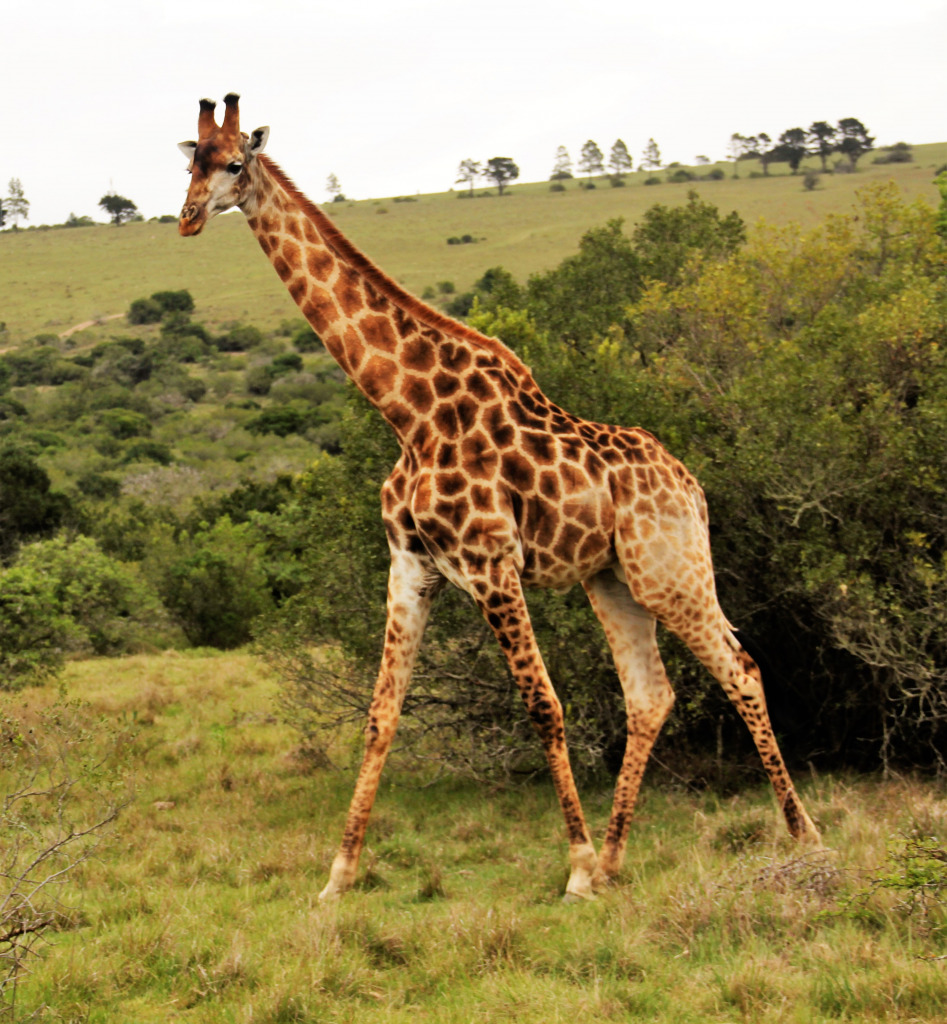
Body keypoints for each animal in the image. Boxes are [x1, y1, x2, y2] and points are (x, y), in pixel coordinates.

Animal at [179, 94, 820, 901]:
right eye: (188, 162)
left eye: (235, 163)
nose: (187, 218)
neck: (408, 412)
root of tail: (693, 485)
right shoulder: (411, 567)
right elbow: (381, 713)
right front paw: (338, 877)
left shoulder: (490, 564)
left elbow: (543, 704)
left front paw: (573, 870)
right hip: (611, 581)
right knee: (650, 695)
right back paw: (618, 860)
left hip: (669, 570)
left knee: (740, 670)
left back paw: (802, 837)